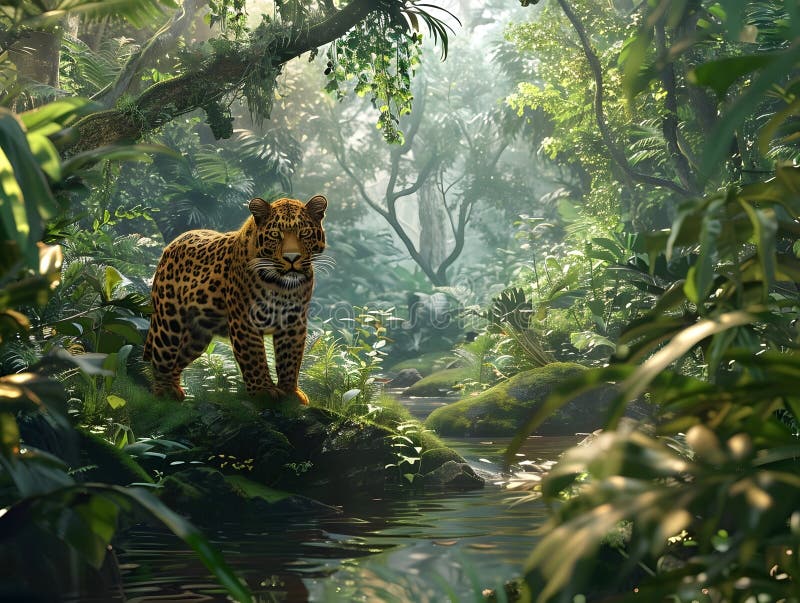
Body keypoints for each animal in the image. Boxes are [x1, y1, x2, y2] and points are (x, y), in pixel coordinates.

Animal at [142, 195, 328, 404]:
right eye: (275, 234)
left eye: (304, 233)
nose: (292, 258)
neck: (281, 286)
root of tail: (173, 242)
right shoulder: (245, 319)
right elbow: (254, 356)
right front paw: (264, 391)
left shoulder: (293, 322)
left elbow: (289, 357)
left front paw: (290, 392)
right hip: (168, 322)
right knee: (162, 357)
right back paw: (164, 391)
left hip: (197, 336)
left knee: (178, 358)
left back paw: (175, 390)